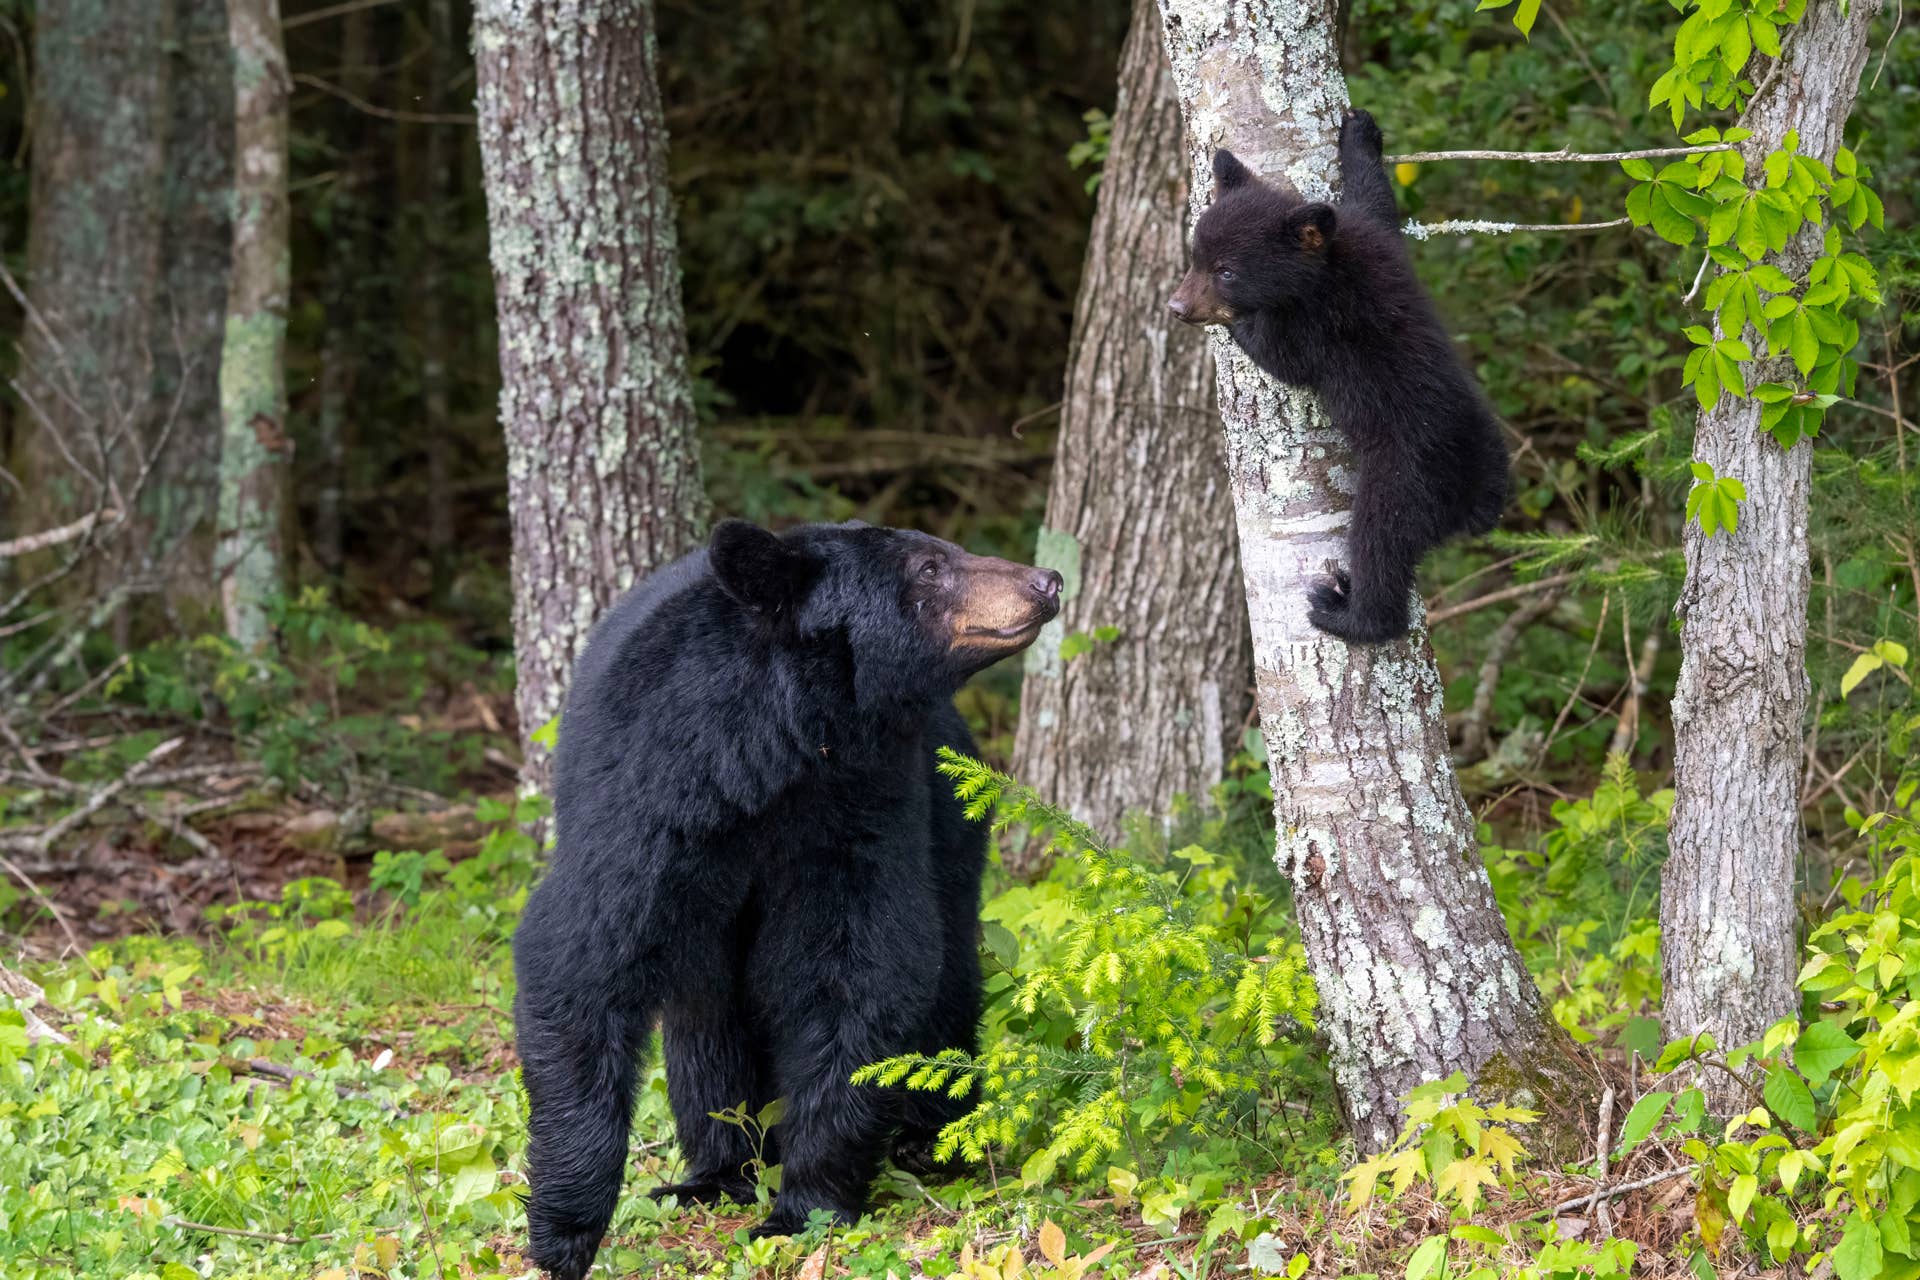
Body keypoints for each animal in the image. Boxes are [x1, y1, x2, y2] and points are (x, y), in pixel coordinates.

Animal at [511, 518, 1062, 1280]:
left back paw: (930, 1135)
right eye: (929, 566)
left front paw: (805, 1204)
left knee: (950, 962)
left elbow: (861, 968)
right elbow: (583, 960)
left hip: (951, 811)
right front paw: (562, 1232)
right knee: (707, 1022)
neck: (774, 752)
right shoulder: (649, 796)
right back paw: (716, 1174)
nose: (1046, 582)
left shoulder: (861, 805)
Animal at [1168, 107, 1510, 644]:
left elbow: (1283, 359)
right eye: (1197, 257)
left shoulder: (1319, 327)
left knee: (1380, 546)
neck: (1324, 270)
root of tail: (1475, 501)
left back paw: (1347, 613)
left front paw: (1235, 323)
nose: (1178, 307)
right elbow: (1376, 202)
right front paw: (1360, 133)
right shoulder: (1374, 240)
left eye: (1226, 272)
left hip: (1403, 483)